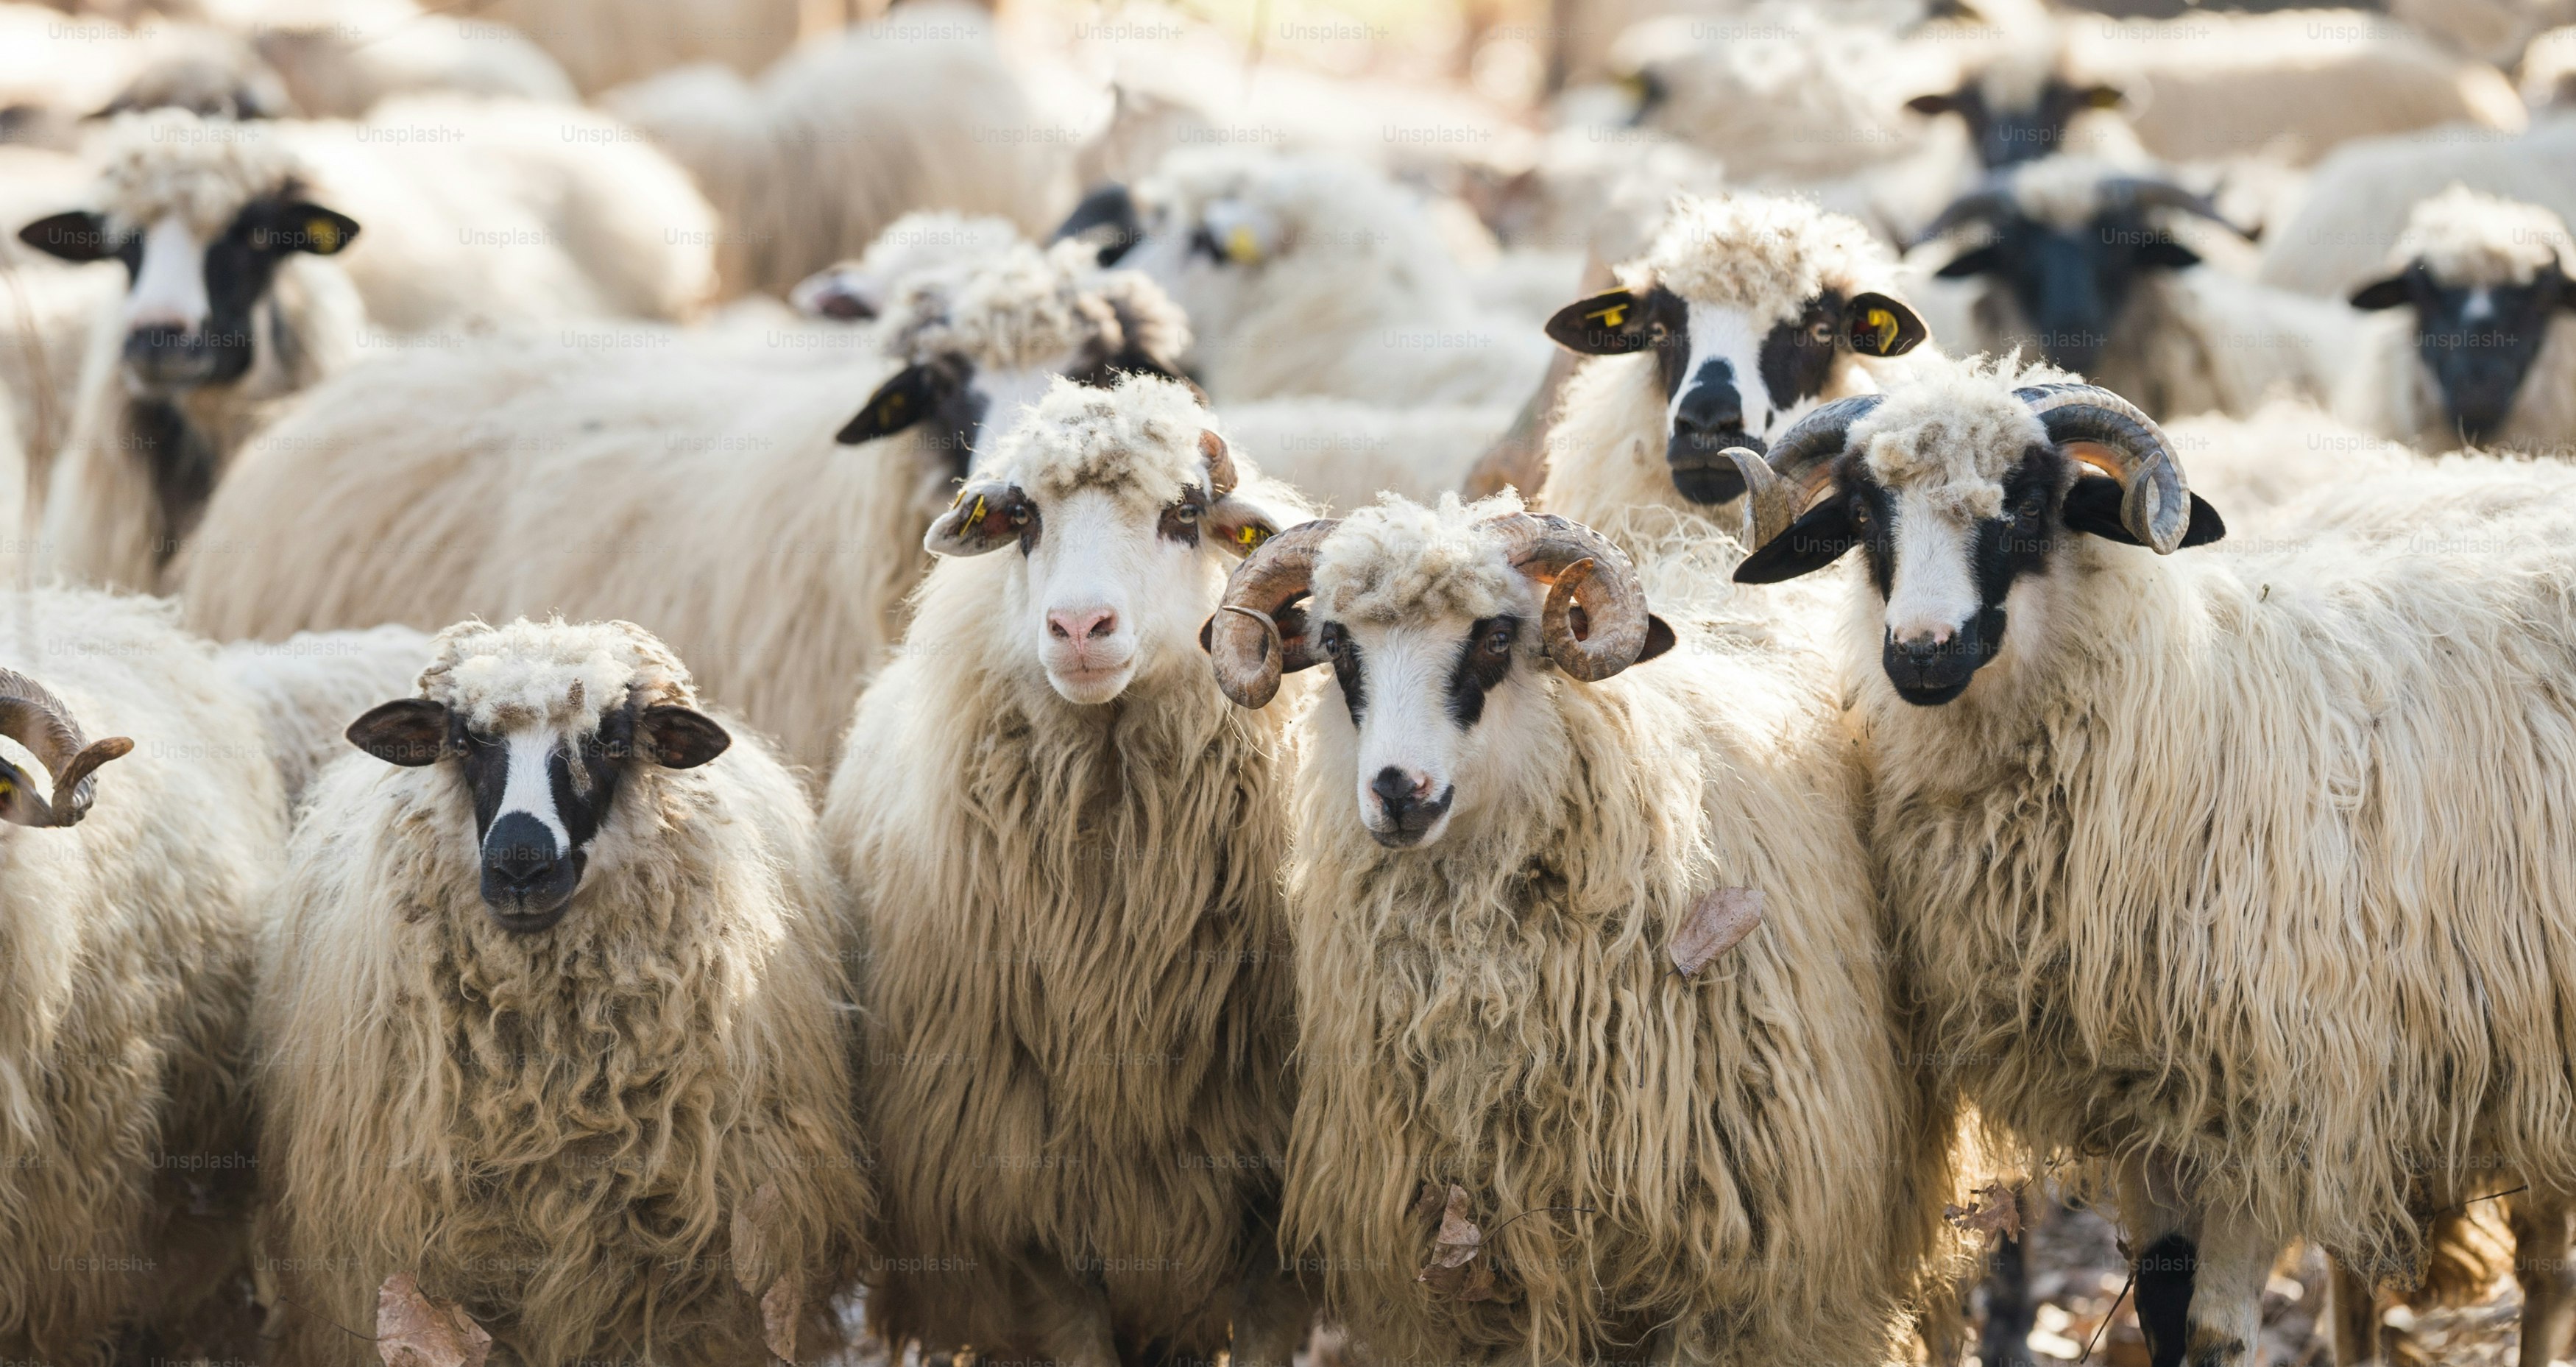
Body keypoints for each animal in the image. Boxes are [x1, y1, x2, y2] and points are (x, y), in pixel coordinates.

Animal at [1722, 352, 2576, 1367]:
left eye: (2026, 505)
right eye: (1861, 515)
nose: (1920, 654)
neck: (2180, 709)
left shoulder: (2271, 1107)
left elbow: (2211, 1333)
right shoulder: (2141, 1107)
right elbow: (2162, 1312)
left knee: (2544, 1269)